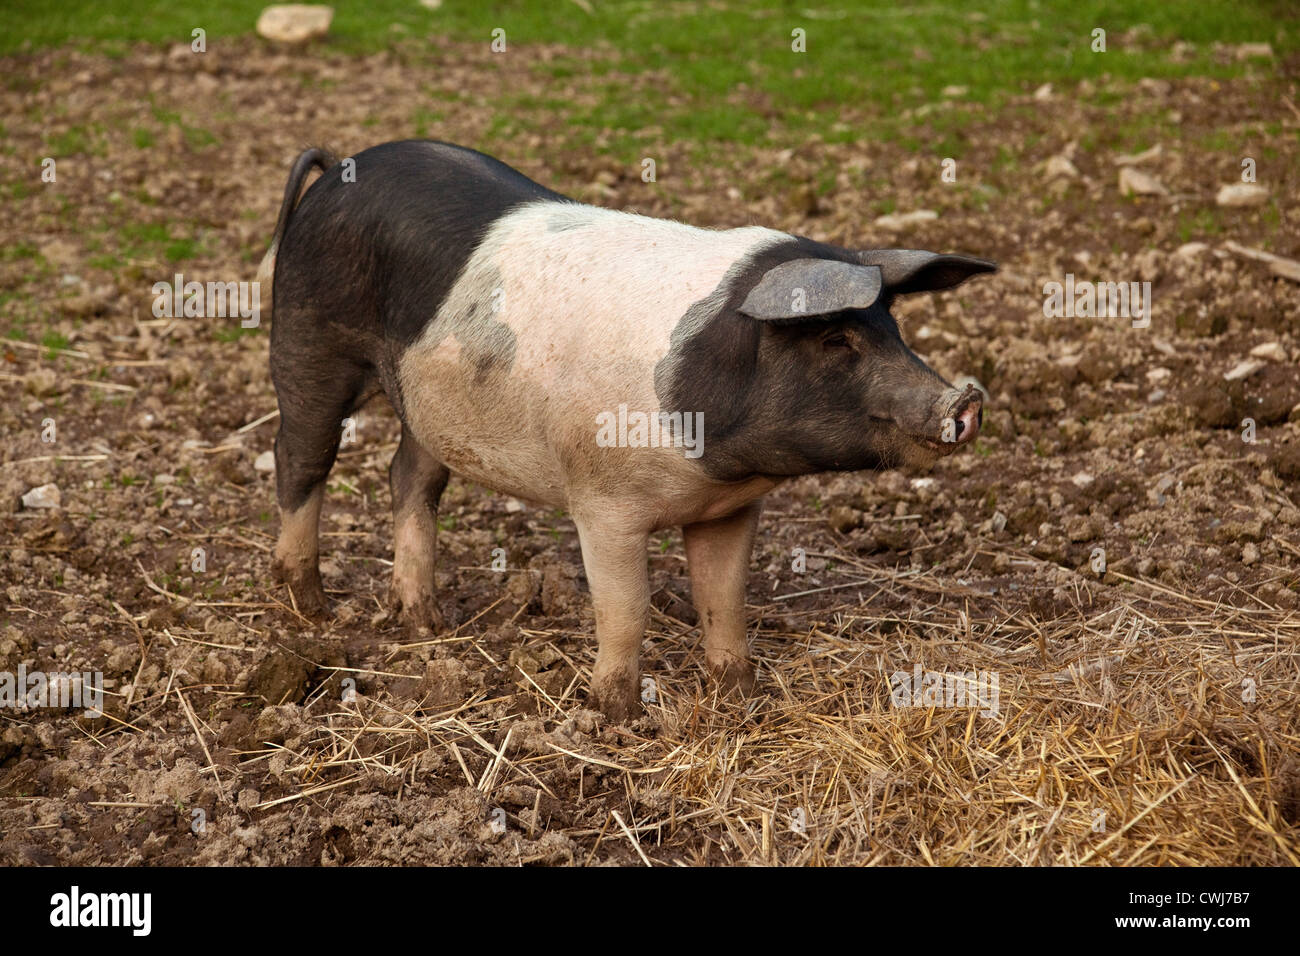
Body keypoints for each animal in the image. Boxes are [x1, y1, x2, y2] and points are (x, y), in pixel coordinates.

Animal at [260, 140, 995, 721]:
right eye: (836, 338)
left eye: (893, 328)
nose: (964, 400)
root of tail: (337, 169)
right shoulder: (603, 502)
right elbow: (626, 607)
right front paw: (613, 715)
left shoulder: (729, 508)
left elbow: (723, 598)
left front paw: (740, 695)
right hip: (307, 339)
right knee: (299, 458)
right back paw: (316, 611)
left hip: (428, 400)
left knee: (409, 478)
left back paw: (428, 622)